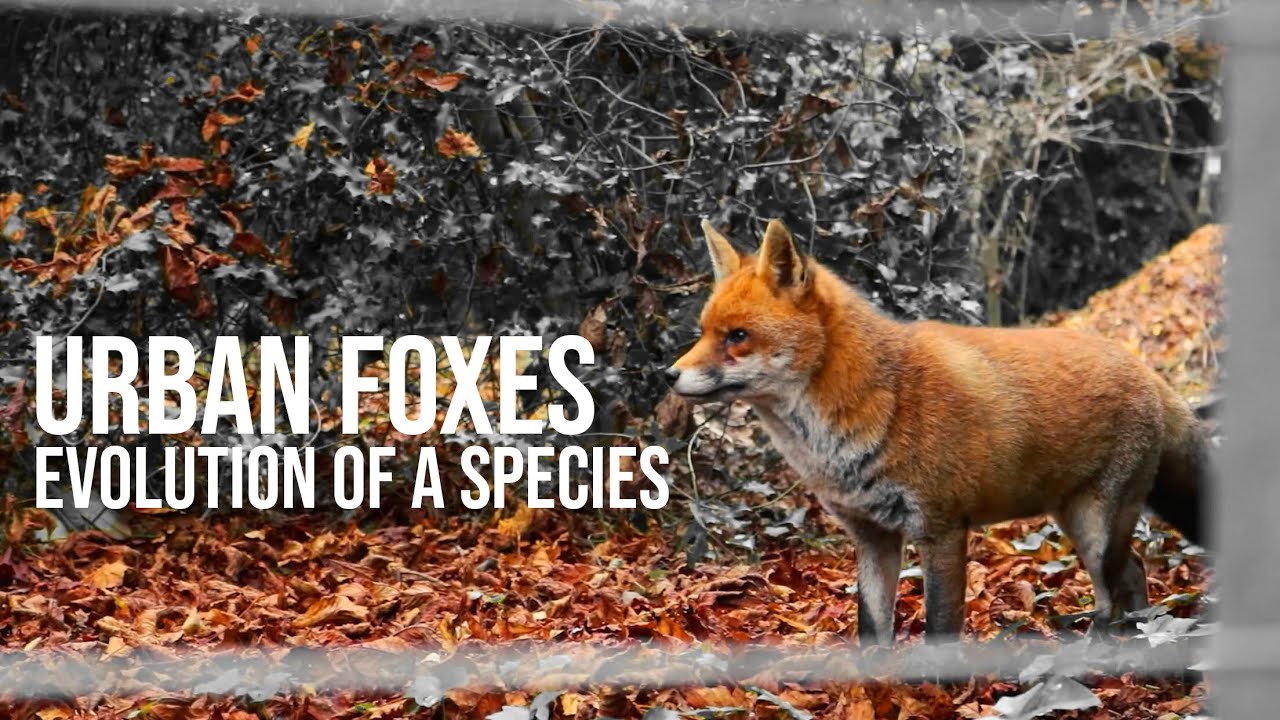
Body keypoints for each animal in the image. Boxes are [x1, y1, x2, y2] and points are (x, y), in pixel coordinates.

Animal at [667, 218, 1211, 645]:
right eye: (704, 332)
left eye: (737, 337)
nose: (668, 375)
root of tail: (1146, 370)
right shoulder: (873, 537)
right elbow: (872, 631)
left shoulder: (943, 529)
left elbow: (939, 630)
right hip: (1075, 519)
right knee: (1134, 574)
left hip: (1097, 528)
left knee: (1111, 594)